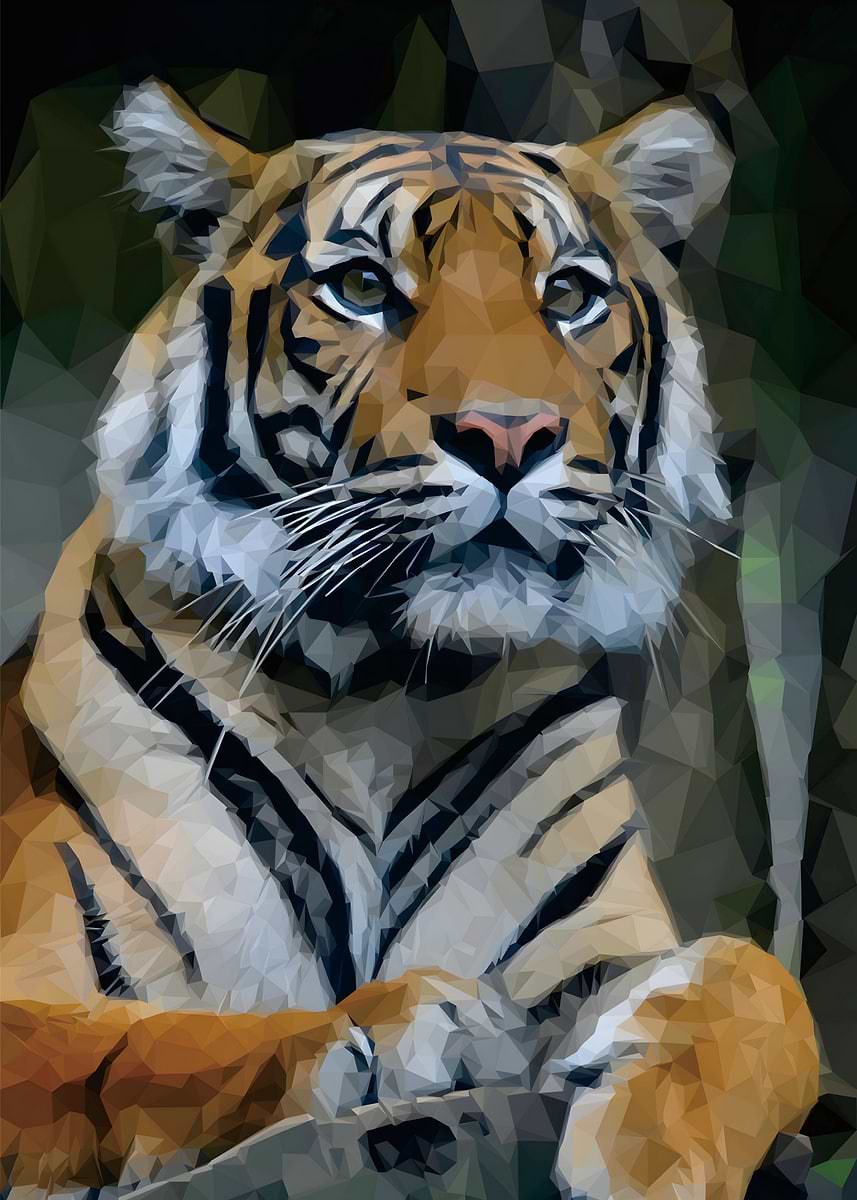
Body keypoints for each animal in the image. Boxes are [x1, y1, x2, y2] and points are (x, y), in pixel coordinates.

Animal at [1, 78, 819, 1199]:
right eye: (360, 288)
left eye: (568, 295)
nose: (510, 436)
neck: (378, 695)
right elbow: (145, 1043)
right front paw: (399, 1028)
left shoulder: (604, 943)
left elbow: (763, 987)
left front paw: (650, 1156)